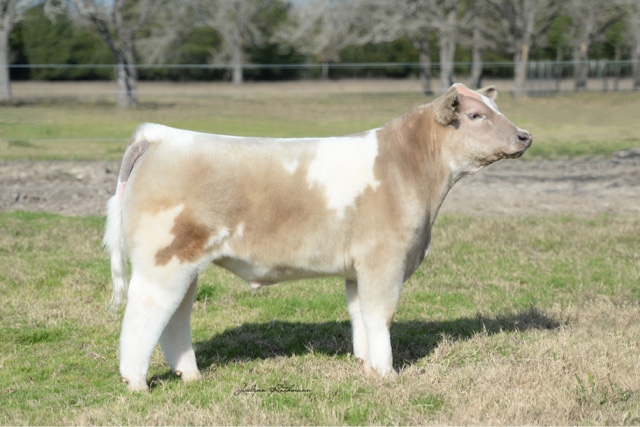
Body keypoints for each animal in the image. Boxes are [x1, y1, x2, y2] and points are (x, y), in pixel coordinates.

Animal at [103, 83, 532, 391]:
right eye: (475, 115)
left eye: (497, 110)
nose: (525, 136)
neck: (410, 168)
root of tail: (159, 136)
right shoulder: (385, 258)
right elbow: (381, 314)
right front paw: (388, 374)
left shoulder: (358, 268)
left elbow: (360, 314)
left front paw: (366, 366)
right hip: (164, 259)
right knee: (145, 313)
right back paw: (136, 382)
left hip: (187, 264)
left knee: (175, 316)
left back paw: (190, 375)